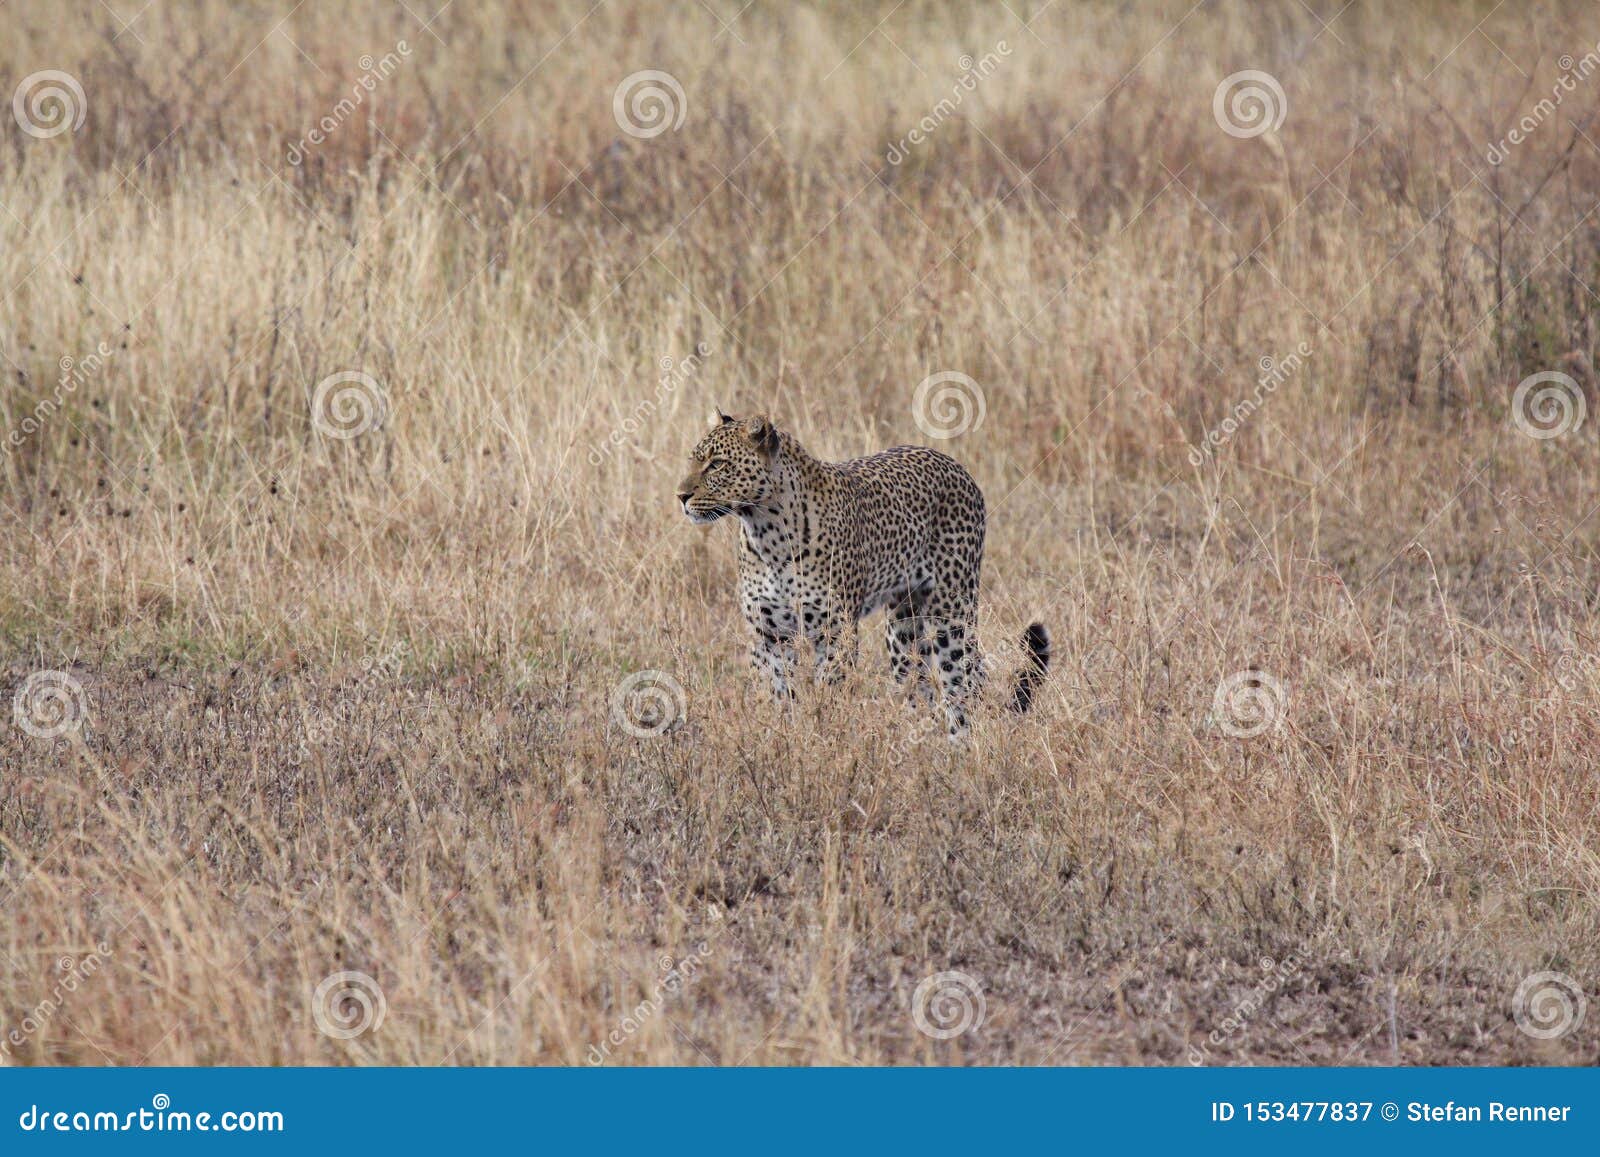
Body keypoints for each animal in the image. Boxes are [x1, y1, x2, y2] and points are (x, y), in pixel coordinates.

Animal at [675, 410, 1050, 738]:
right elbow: (775, 697)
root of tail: (955, 464)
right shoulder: (767, 634)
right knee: (921, 688)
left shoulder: (834, 631)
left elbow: (829, 696)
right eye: (694, 460)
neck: (765, 531)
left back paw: (961, 747)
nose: (680, 495)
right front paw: (779, 739)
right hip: (904, 626)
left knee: (964, 682)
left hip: (951, 615)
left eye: (717, 464)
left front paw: (823, 742)